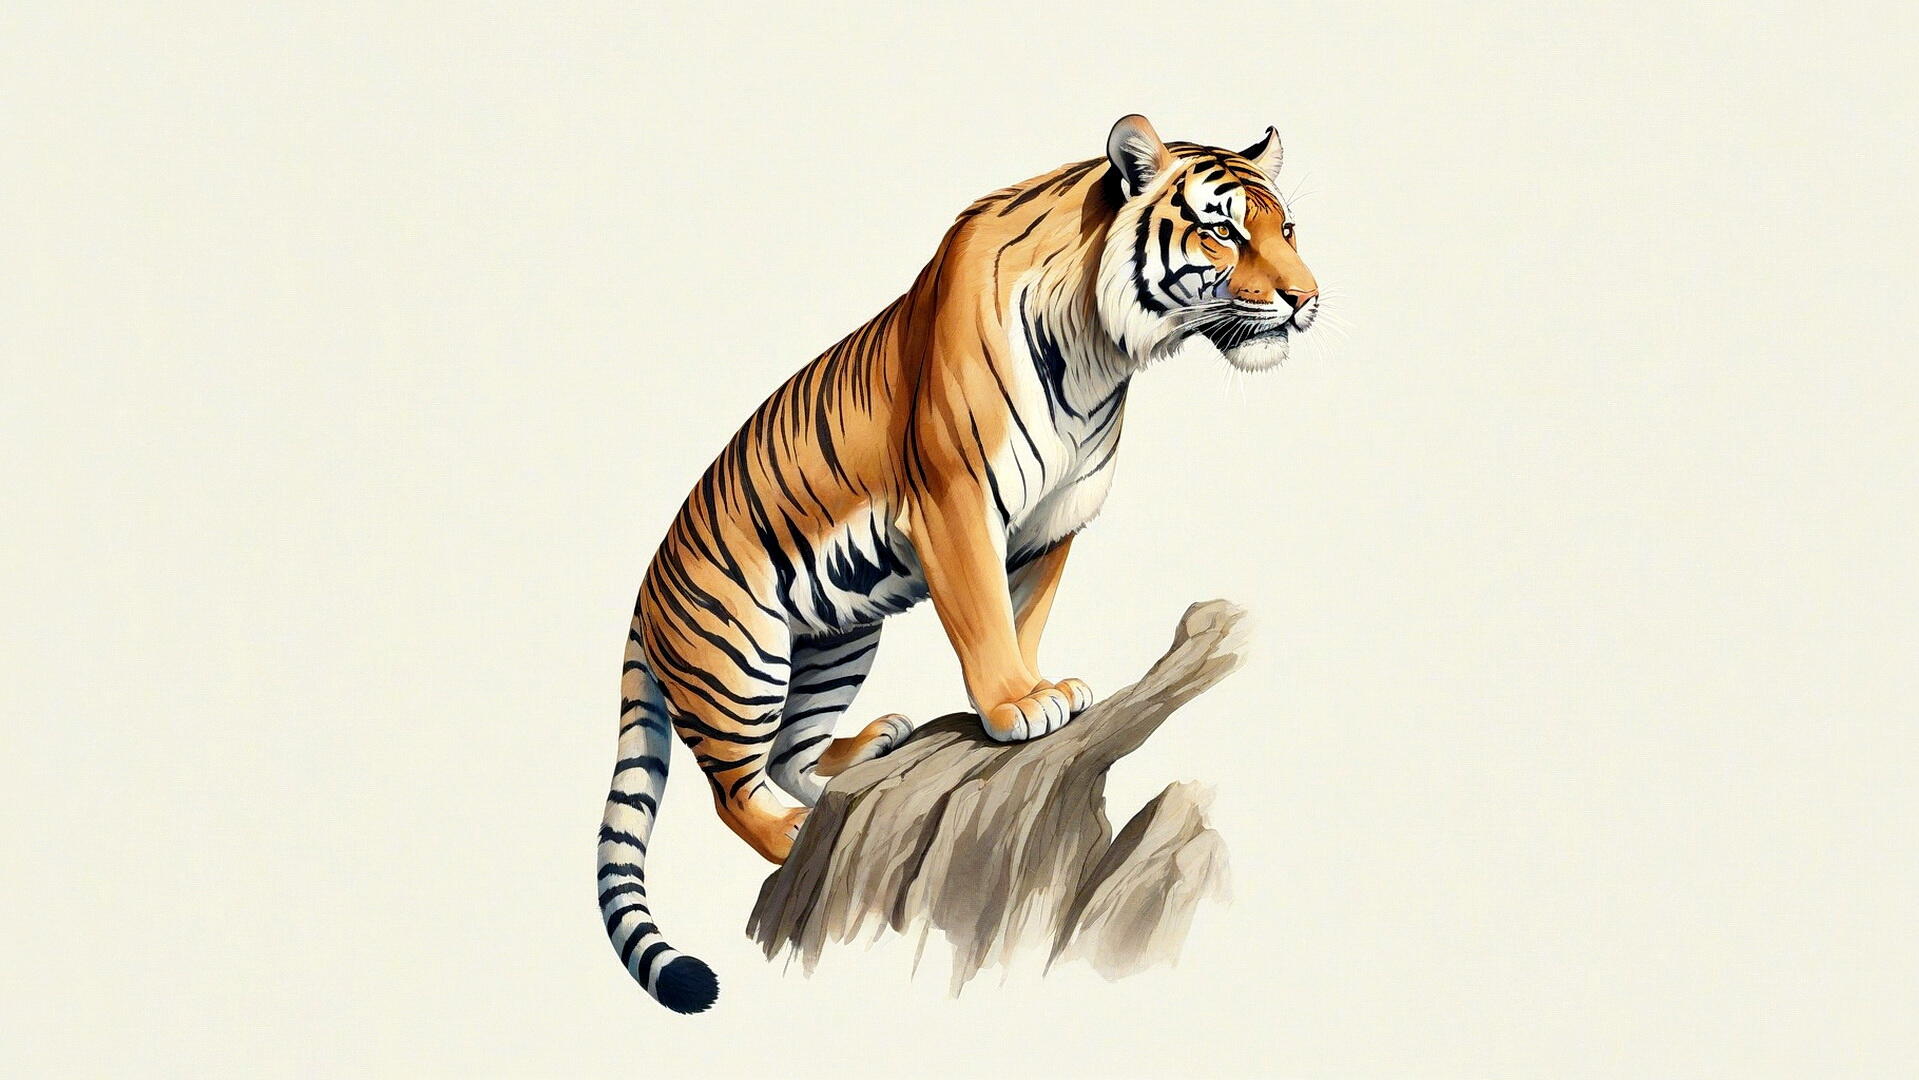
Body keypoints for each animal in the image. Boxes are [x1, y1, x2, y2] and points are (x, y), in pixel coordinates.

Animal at [598, 114, 1322, 1012]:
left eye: (1286, 231)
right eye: (1223, 231)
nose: (1306, 300)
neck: (1101, 350)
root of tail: (641, 595)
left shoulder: (1052, 521)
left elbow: (1024, 616)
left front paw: (1042, 691)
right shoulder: (956, 501)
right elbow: (981, 616)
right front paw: (1015, 706)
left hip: (838, 642)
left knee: (792, 752)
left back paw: (863, 754)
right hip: (738, 658)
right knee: (736, 787)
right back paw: (792, 834)